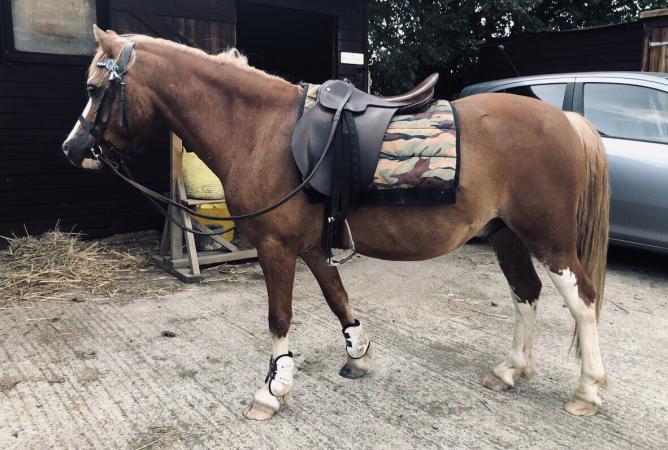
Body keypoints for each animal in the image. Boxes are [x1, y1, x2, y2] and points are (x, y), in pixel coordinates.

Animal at [62, 26, 610, 420]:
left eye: (93, 88)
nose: (72, 149)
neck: (262, 130)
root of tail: (567, 121)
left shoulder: (277, 247)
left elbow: (280, 318)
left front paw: (272, 390)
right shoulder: (312, 246)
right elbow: (338, 299)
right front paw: (358, 353)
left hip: (550, 240)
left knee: (582, 301)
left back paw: (587, 390)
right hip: (507, 237)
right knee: (526, 295)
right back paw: (511, 370)